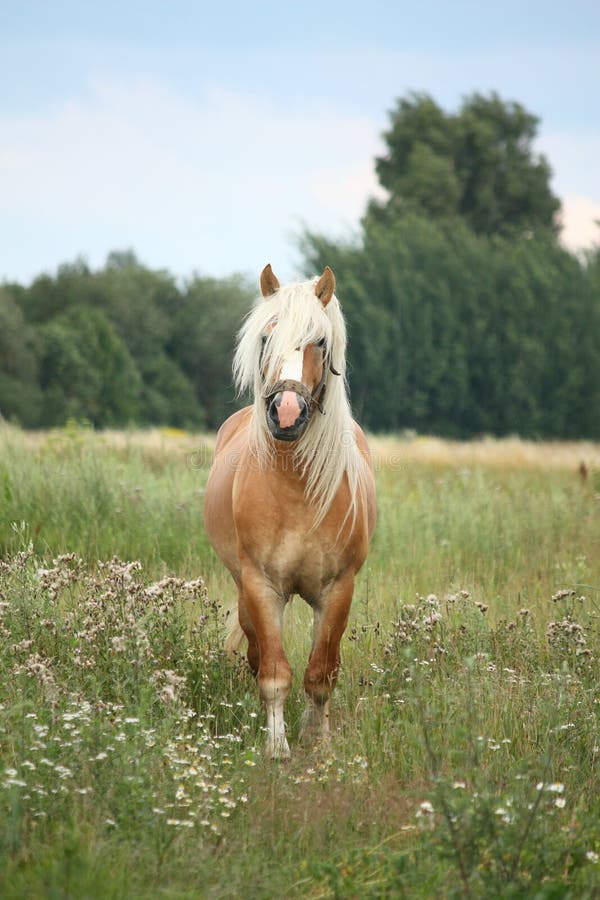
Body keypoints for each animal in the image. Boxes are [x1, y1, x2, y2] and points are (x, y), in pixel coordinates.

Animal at [203, 264, 377, 758]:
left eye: (319, 341)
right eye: (266, 337)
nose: (285, 412)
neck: (296, 488)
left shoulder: (337, 591)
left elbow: (320, 675)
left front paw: (317, 739)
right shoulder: (261, 587)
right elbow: (275, 674)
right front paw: (277, 747)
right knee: (255, 653)